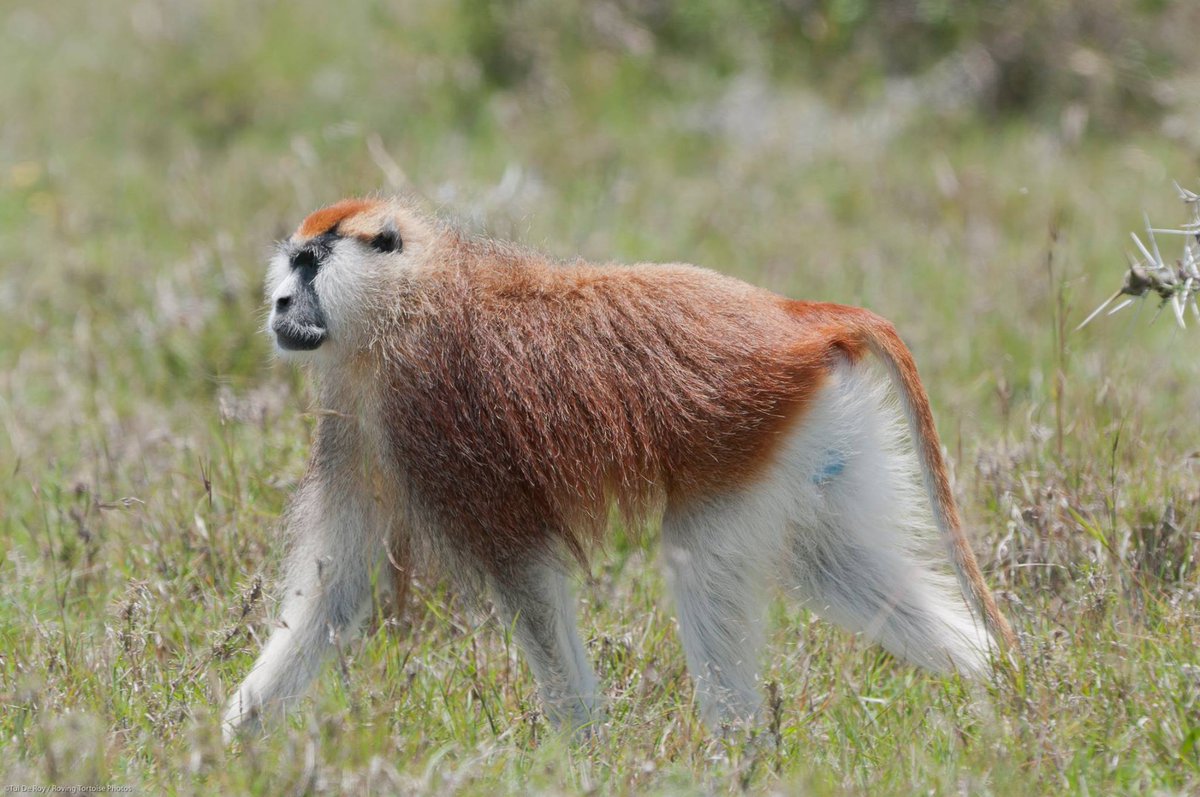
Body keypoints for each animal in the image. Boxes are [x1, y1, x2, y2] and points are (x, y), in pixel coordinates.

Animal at [222, 196, 1015, 741]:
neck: (404, 300)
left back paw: (739, 756)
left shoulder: (435, 416)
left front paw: (584, 752)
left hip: (746, 428)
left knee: (698, 558)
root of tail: (797, 317)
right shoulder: (359, 421)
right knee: (834, 563)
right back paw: (996, 688)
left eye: (311, 263)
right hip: (817, 429)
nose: (281, 302)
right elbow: (337, 589)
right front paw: (233, 737)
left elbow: (524, 573)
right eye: (291, 262)